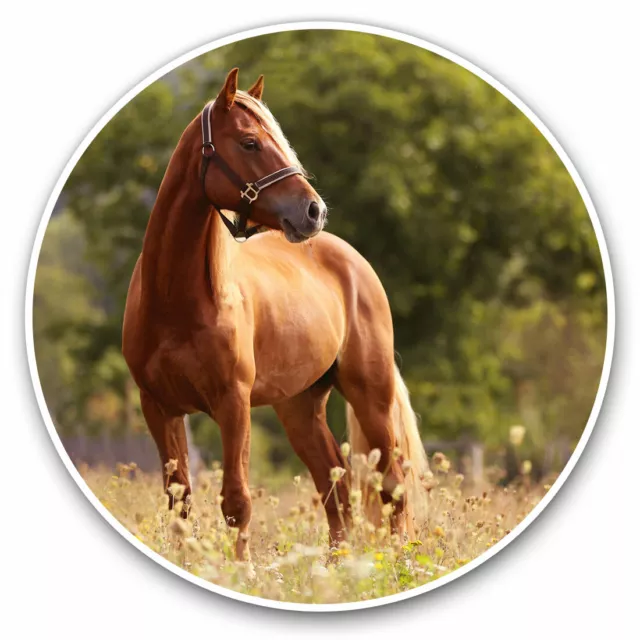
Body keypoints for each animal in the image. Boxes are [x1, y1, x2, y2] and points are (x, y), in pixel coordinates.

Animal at [122, 68, 430, 562]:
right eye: (250, 142)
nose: (314, 210)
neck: (175, 301)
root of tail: (353, 261)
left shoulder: (232, 403)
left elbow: (236, 501)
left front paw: (241, 571)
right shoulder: (159, 408)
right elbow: (180, 503)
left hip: (371, 395)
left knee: (391, 485)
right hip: (300, 406)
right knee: (335, 488)